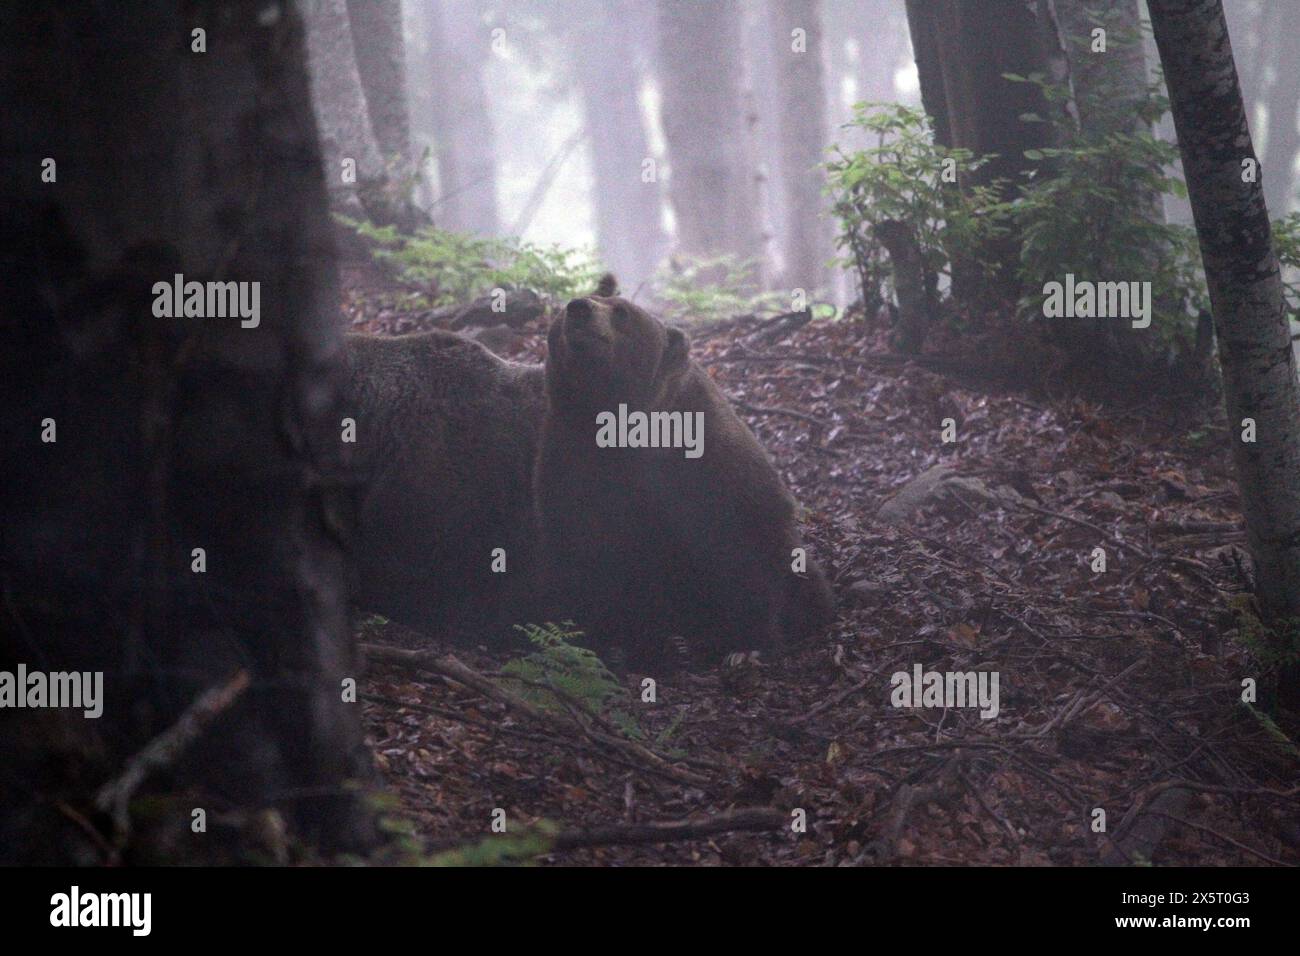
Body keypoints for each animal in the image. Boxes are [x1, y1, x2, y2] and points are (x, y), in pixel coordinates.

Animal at [535, 290, 834, 666]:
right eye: (564, 310)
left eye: (622, 311)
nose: (578, 308)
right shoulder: (574, 458)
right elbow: (590, 548)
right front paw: (613, 643)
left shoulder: (708, 464)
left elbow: (743, 545)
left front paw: (748, 645)